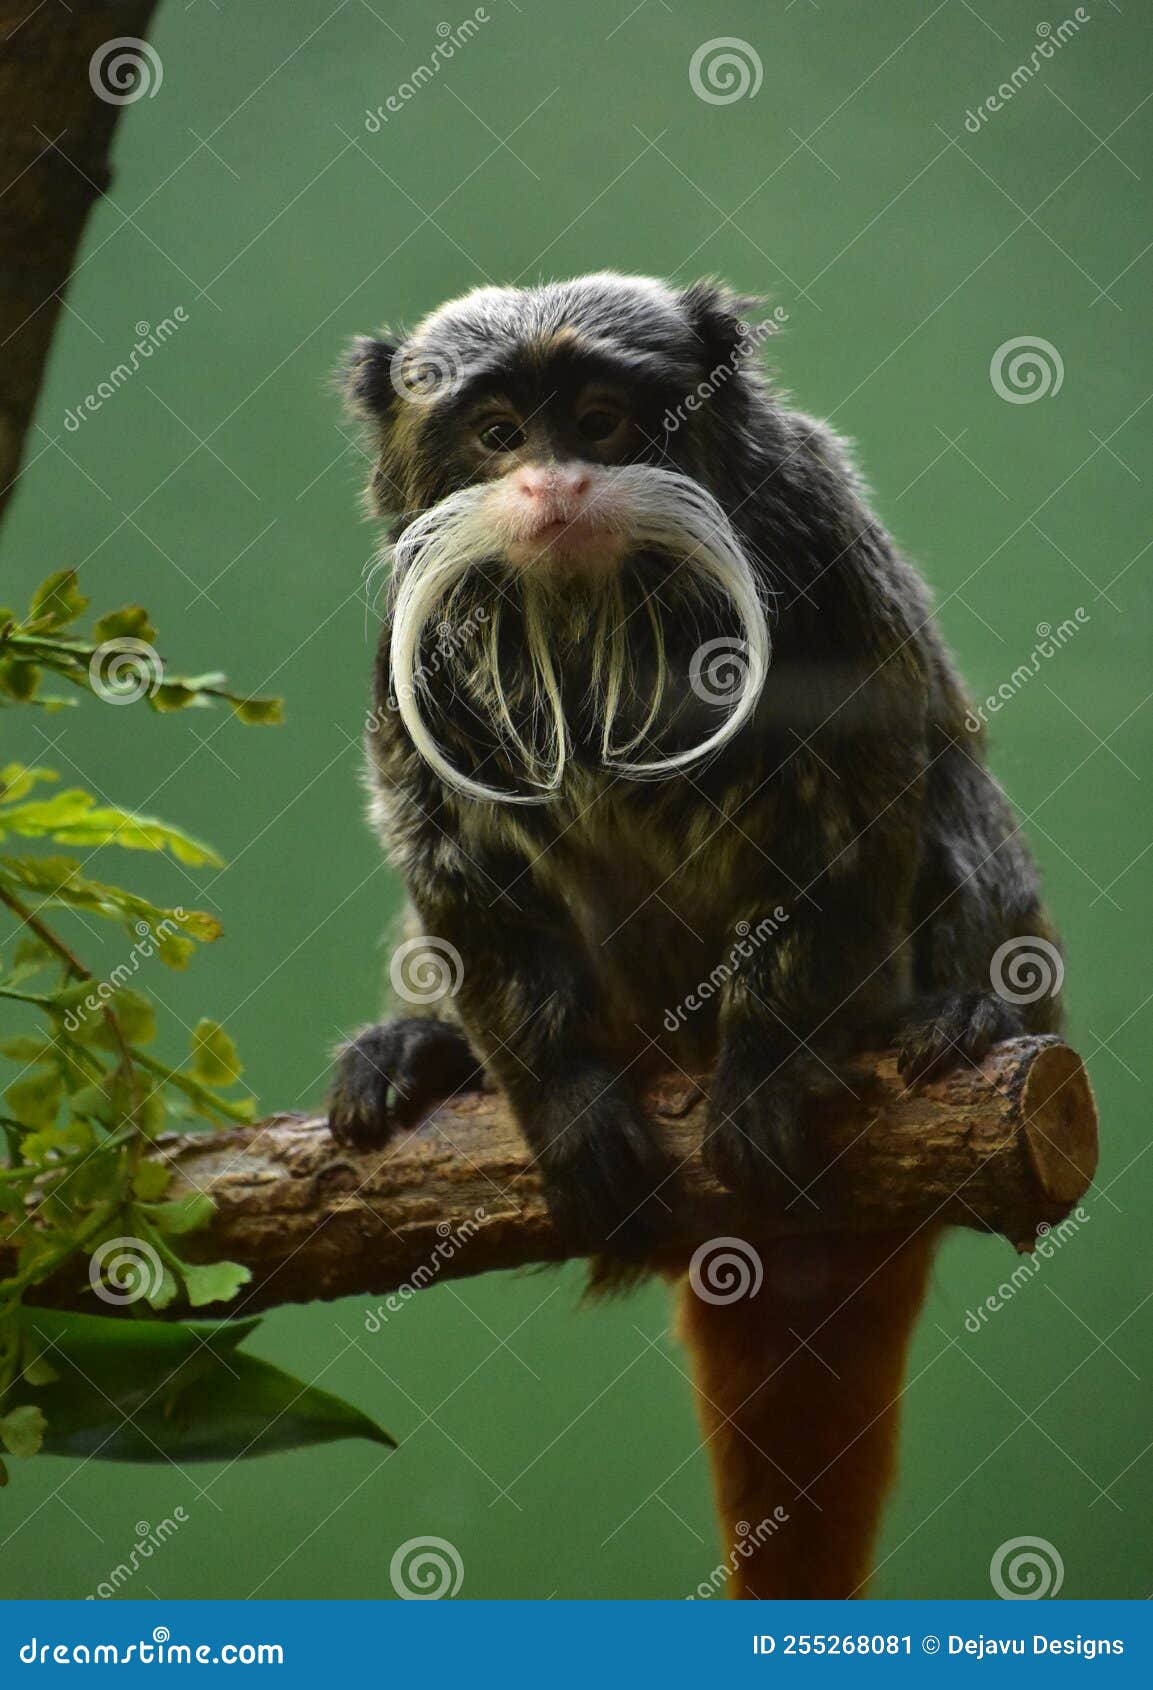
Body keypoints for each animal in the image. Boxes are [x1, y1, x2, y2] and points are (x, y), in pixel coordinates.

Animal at [327, 274, 1063, 1599]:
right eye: (499, 433)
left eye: (602, 423)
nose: (554, 486)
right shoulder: (417, 632)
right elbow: (446, 851)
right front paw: (562, 1100)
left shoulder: (817, 552)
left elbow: (860, 794)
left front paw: (767, 1075)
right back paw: (422, 1051)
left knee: (950, 797)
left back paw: (965, 1017)